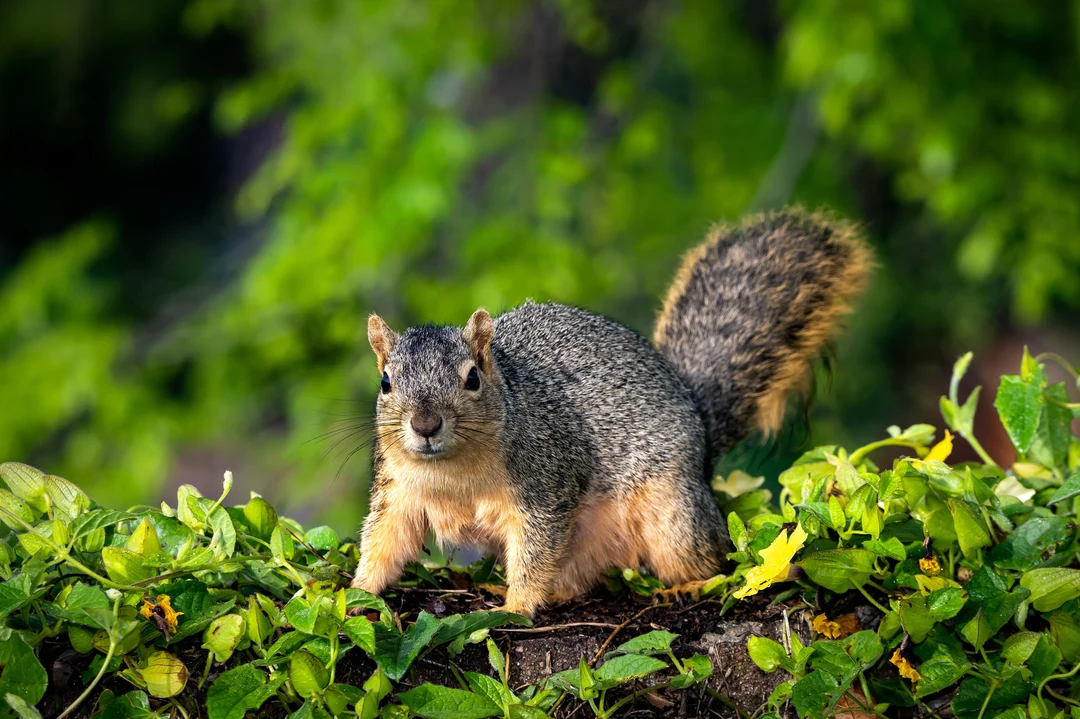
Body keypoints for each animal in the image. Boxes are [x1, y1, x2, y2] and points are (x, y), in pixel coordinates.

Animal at [350, 207, 872, 617]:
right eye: (386, 382)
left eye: (472, 378)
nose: (425, 426)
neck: (453, 472)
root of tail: (699, 421)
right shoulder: (398, 491)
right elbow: (385, 540)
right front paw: (356, 591)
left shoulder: (547, 483)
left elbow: (535, 550)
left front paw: (516, 608)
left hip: (671, 510)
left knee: (713, 559)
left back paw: (687, 585)